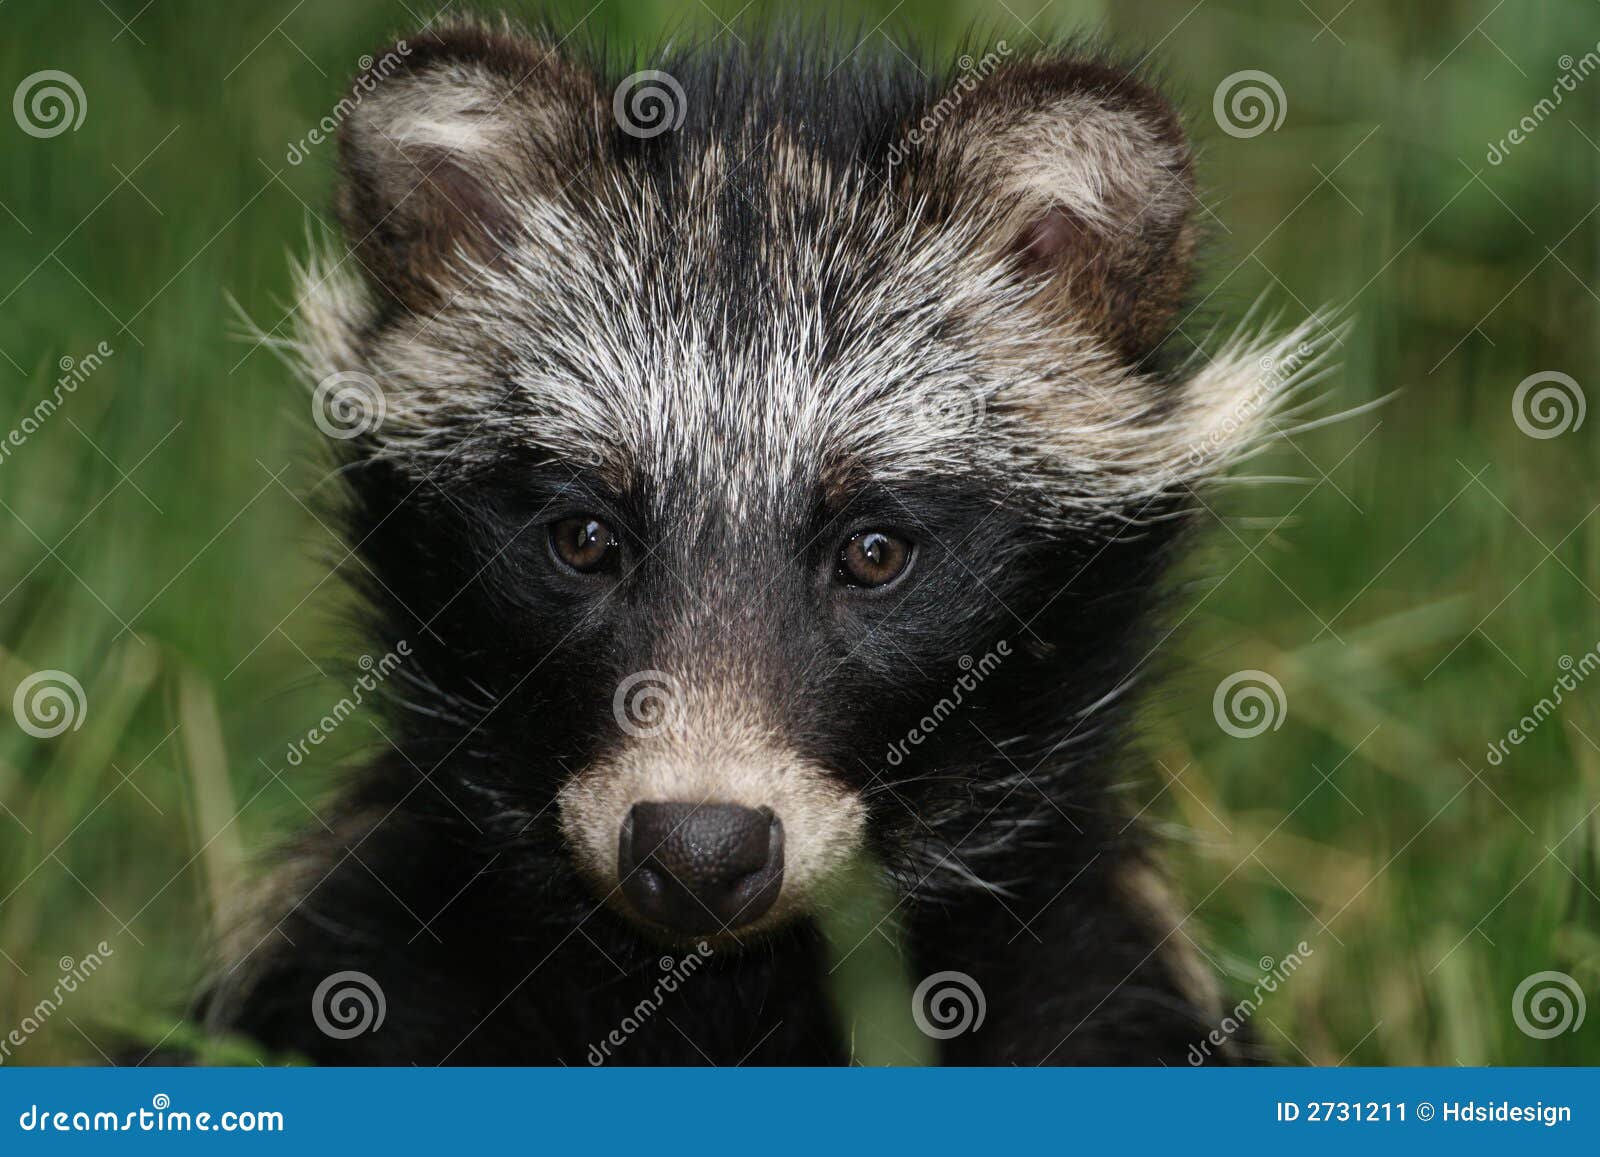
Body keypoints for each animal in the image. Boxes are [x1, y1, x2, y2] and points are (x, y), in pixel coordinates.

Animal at [205, 17, 1325, 1065]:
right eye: (583, 537)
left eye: (875, 552)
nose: (698, 850)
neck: (719, 988)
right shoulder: (367, 955)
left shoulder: (1098, 977)